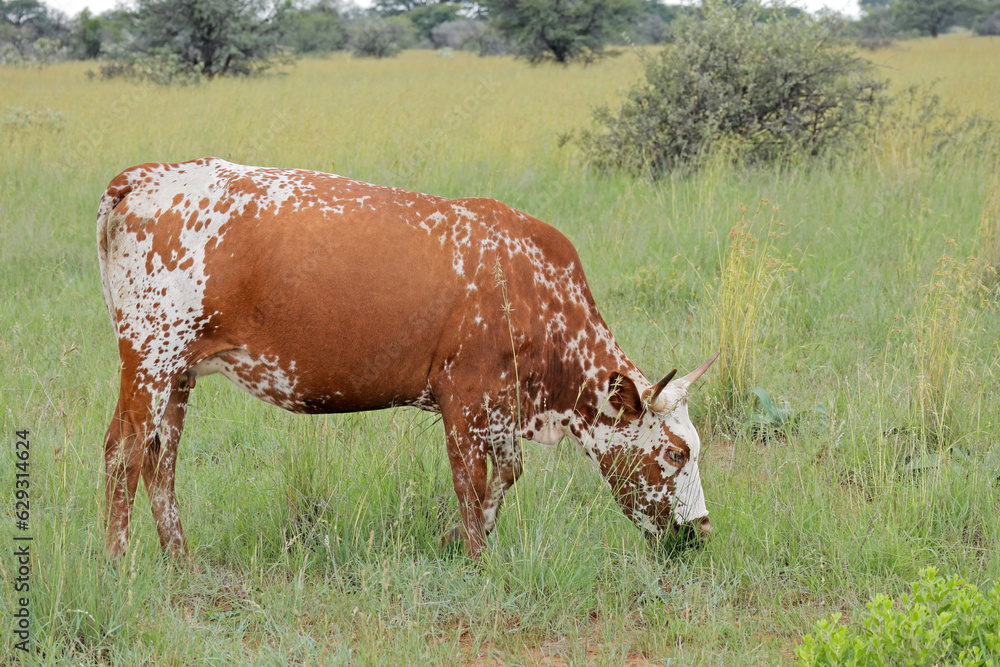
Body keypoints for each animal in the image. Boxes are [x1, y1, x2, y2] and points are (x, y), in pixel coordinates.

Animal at [97, 157, 718, 560]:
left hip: (178, 374)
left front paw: (460, 541)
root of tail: (144, 175)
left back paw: (180, 561)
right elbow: (470, 483)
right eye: (676, 453)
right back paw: (117, 566)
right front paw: (476, 557)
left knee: (159, 458)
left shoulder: (498, 408)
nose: (701, 532)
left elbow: (506, 475)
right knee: (123, 453)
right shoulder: (463, 400)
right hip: (150, 357)